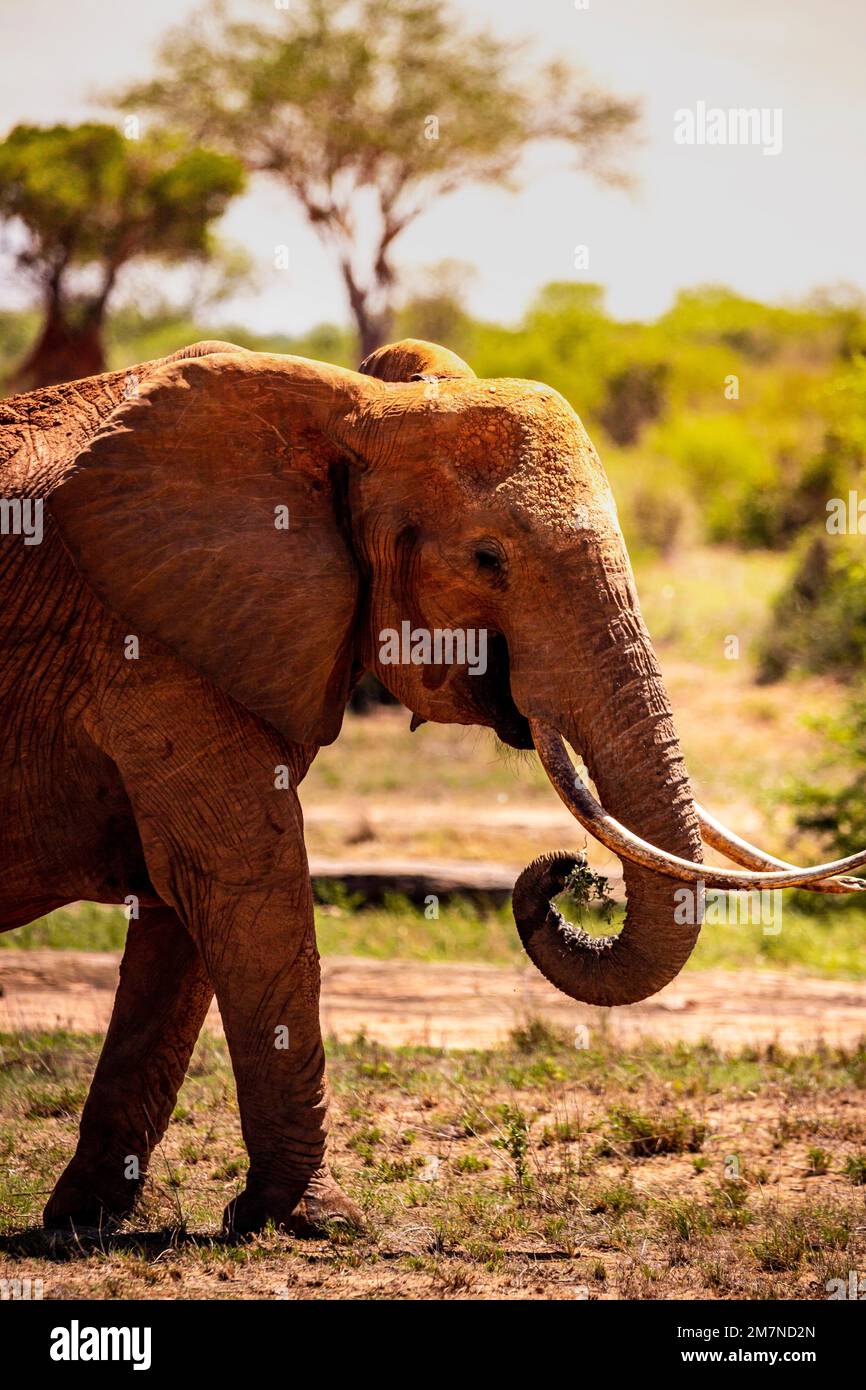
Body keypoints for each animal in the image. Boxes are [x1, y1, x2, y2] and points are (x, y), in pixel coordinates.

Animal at [1, 335, 864, 1237]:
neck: (351, 411)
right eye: (487, 559)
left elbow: (188, 910)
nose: (563, 874)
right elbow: (247, 883)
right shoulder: (144, 645)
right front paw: (316, 1220)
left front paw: (83, 1227)